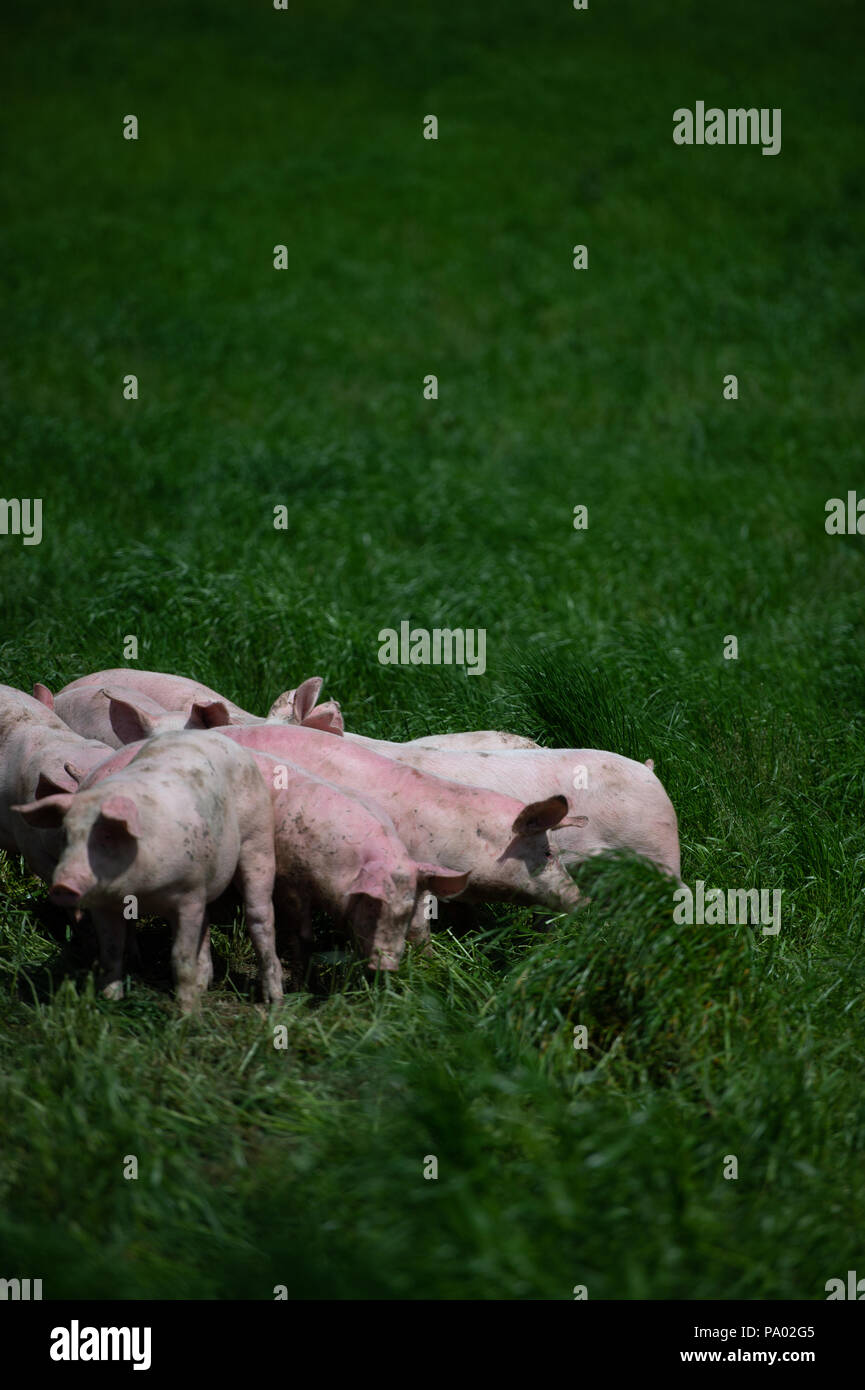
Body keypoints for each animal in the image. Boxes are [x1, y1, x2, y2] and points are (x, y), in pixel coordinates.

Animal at [13, 731, 282, 1011]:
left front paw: (187, 1014)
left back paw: (272, 1001)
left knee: (260, 914)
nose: (63, 886)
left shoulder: (189, 894)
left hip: (258, 838)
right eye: (66, 834)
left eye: (107, 835)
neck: (142, 891)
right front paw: (111, 1001)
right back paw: (204, 984)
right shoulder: (104, 904)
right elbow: (110, 950)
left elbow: (181, 957)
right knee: (207, 922)